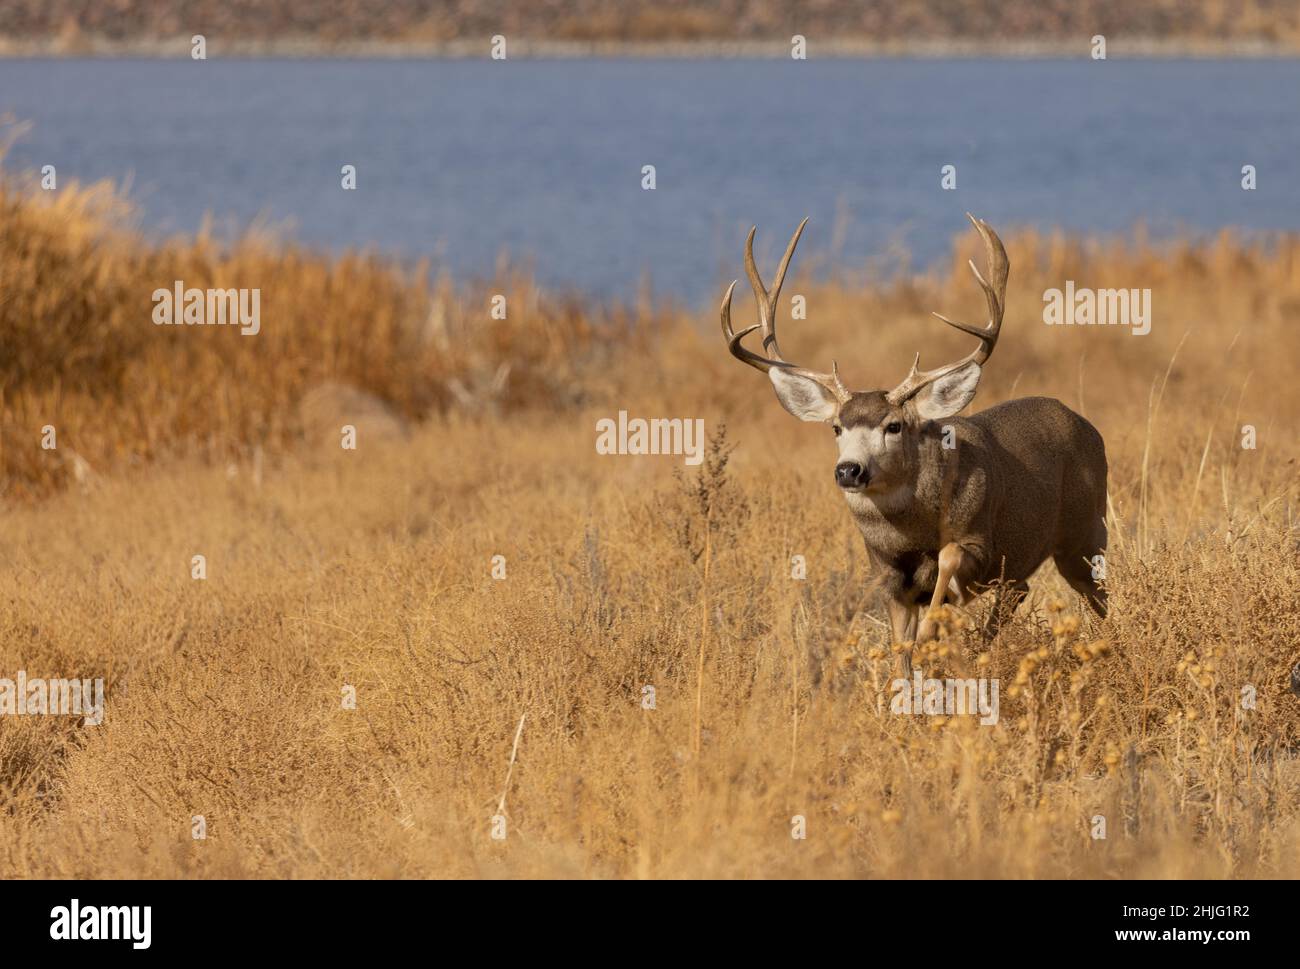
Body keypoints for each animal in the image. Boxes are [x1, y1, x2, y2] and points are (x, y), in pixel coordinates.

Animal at [719, 214, 1108, 674]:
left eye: (894, 426)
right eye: (836, 427)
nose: (849, 469)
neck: (909, 538)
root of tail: (1086, 425)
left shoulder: (980, 542)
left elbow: (948, 563)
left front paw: (931, 636)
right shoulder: (889, 582)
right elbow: (899, 654)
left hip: (1086, 531)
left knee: (1098, 595)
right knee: (1020, 592)